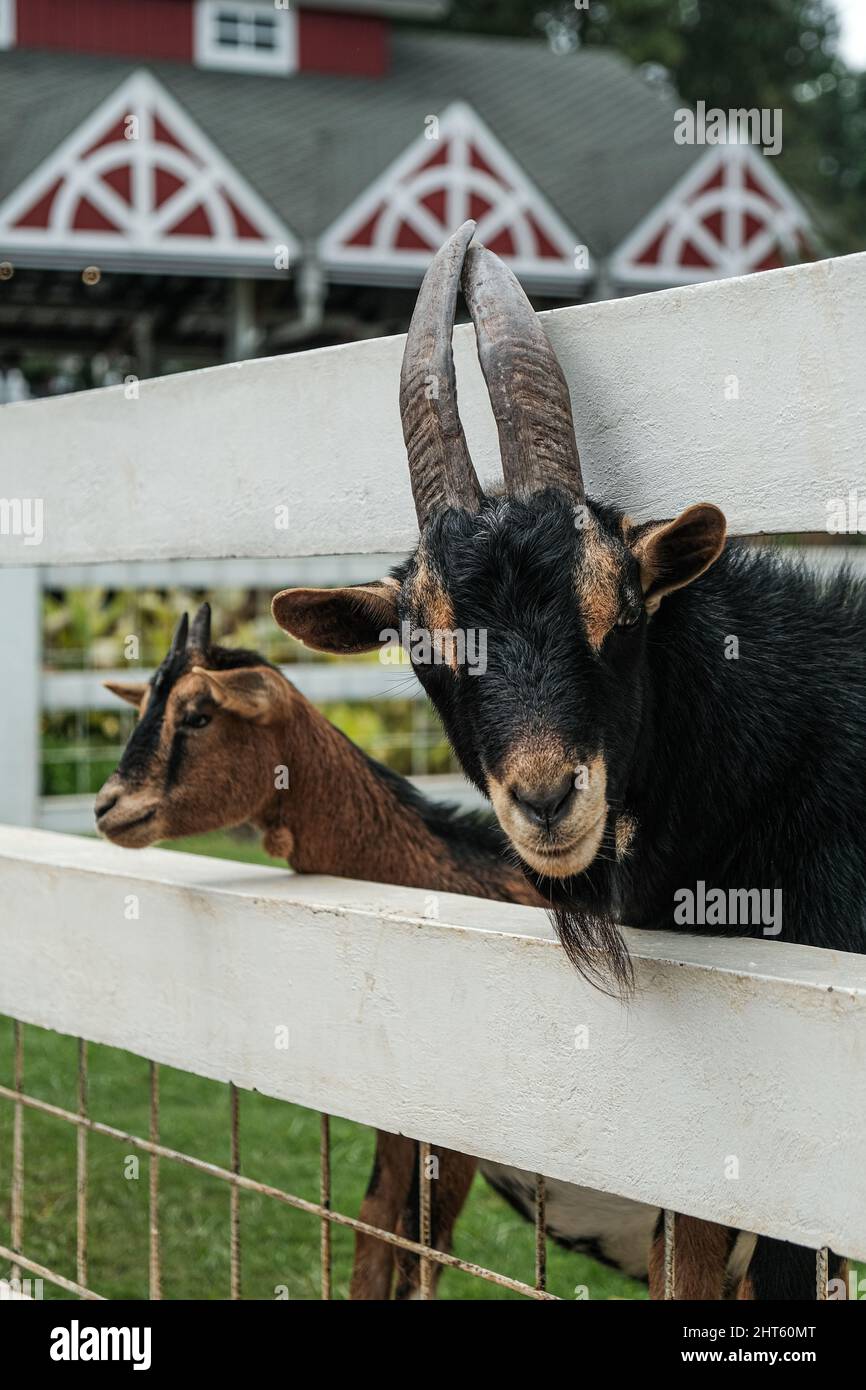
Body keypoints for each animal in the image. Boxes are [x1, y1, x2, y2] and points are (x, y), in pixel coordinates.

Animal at [95, 603, 660, 1297]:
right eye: (145, 703)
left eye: (199, 714)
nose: (108, 807)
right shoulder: (394, 1121)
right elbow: (373, 1230)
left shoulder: (455, 1134)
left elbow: (420, 1256)